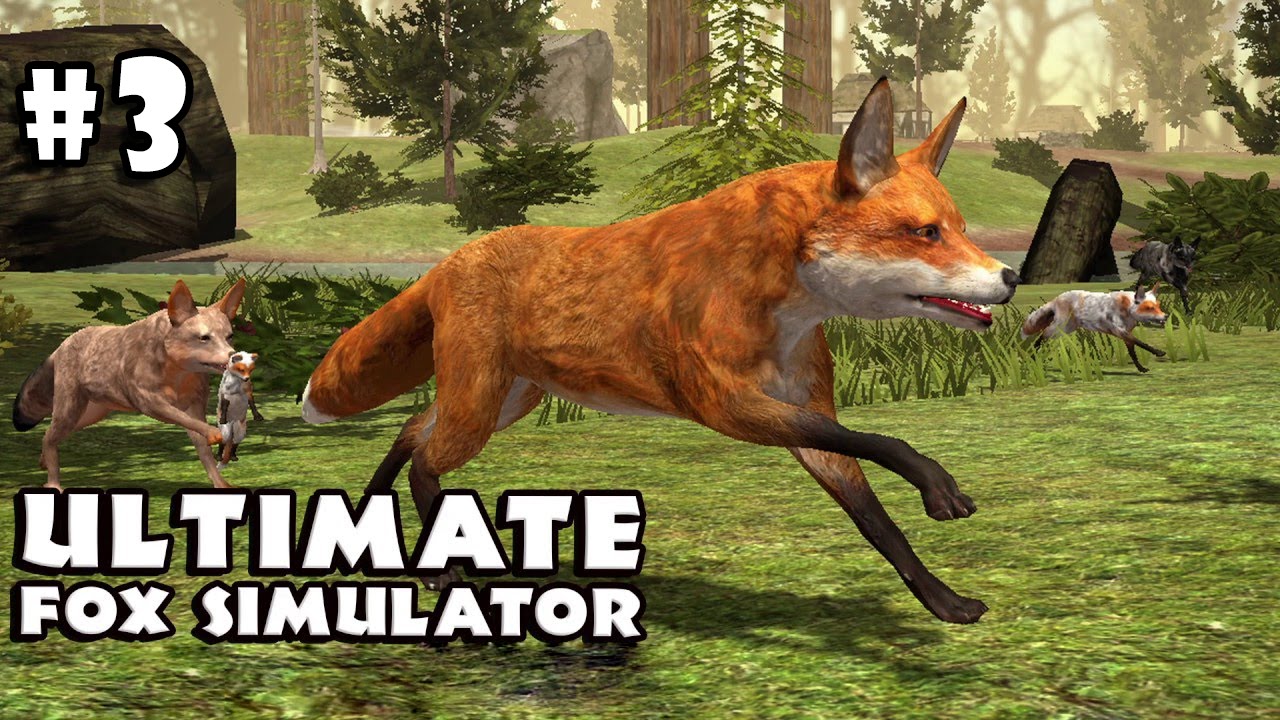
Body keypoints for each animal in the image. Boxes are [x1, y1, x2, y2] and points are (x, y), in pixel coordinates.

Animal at [12, 279, 248, 490]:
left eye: (229, 336)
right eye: (204, 338)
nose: (234, 357)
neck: (177, 374)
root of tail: (62, 345)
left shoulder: (193, 407)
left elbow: (204, 452)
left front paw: (220, 484)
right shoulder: (150, 403)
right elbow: (198, 428)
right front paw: (216, 434)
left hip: (86, 416)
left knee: (47, 435)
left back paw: (43, 461)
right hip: (69, 412)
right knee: (51, 437)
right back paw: (53, 483)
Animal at [299, 78, 1022, 625]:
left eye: (960, 229)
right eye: (925, 233)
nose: (1012, 277)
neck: (778, 296)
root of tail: (452, 258)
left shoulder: (804, 417)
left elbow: (878, 522)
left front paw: (944, 602)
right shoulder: (728, 405)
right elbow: (882, 441)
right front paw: (937, 485)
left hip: (505, 402)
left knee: (409, 431)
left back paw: (364, 522)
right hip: (479, 408)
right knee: (425, 462)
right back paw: (438, 574)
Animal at [1020, 284, 1168, 372]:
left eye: (1158, 306)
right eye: (1149, 308)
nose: (1166, 316)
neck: (1126, 310)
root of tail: (1058, 298)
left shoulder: (1126, 334)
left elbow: (1133, 353)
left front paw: (1141, 368)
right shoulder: (1120, 331)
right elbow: (1142, 343)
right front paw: (1159, 352)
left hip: (1066, 329)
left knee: (1044, 334)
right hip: (1059, 328)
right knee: (1042, 334)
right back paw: (1032, 355)